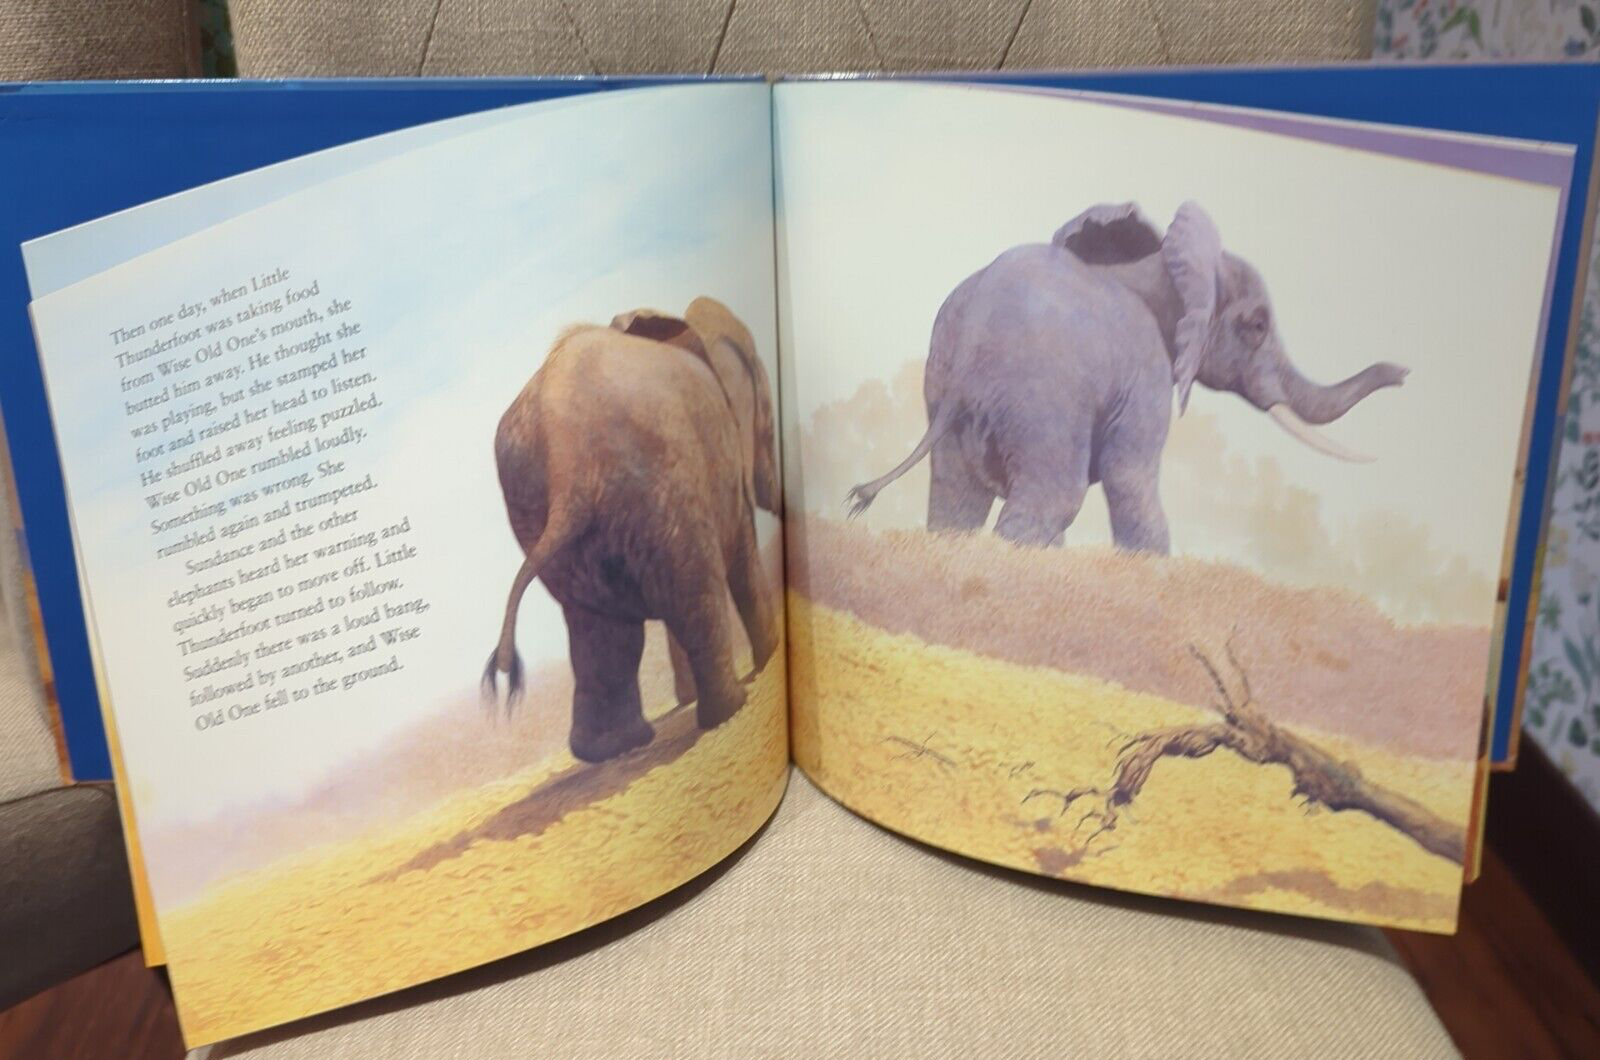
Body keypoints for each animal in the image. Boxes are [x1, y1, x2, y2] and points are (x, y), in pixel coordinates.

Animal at [482, 296, 779, 763]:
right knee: (694, 593)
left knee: (602, 629)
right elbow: (741, 561)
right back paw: (728, 710)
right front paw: (772, 658)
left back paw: (612, 748)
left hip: (541, 508)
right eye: (769, 427)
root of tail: (566, 454)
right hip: (657, 474)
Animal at [846, 201, 1408, 552]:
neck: (1163, 267)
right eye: (1256, 327)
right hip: (1043, 395)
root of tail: (972, 338)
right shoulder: (1149, 378)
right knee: (1054, 497)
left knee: (956, 499)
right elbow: (1130, 480)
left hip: (945, 388)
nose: (1404, 372)